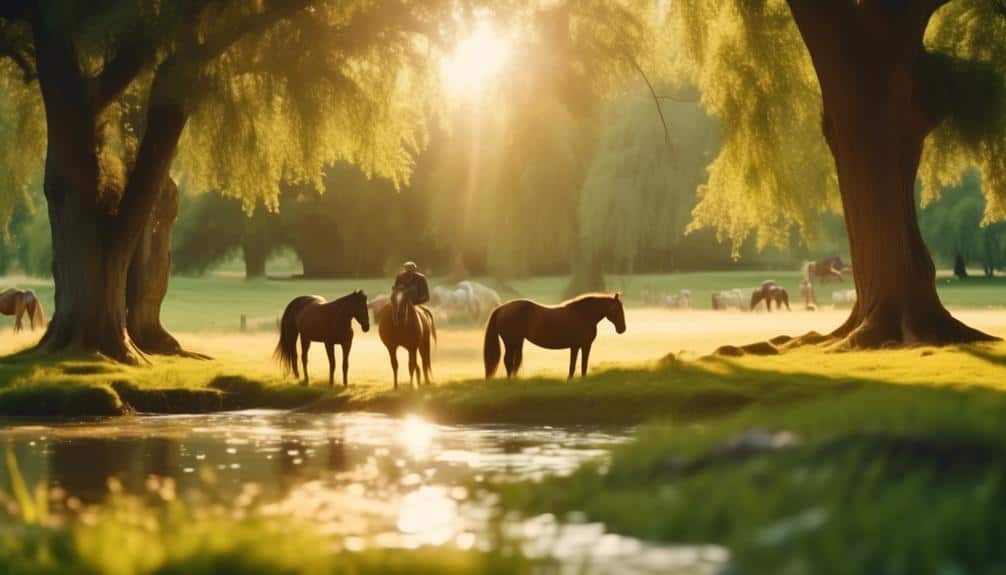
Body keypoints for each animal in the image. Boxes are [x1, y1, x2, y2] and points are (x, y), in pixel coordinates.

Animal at [483, 293, 626, 380]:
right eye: (616, 309)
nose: (622, 329)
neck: (582, 315)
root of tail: (501, 309)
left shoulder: (576, 346)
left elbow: (574, 364)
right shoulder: (584, 345)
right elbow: (581, 364)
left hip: (516, 342)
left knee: (513, 362)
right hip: (511, 342)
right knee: (508, 361)